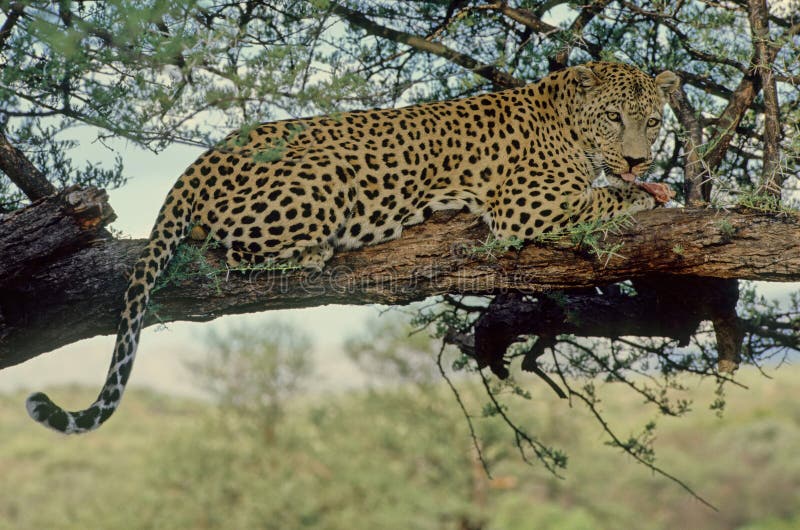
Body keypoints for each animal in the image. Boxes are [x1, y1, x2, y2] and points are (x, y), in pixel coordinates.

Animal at [26, 61, 679, 433]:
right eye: (614, 118)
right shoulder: (524, 206)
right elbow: (604, 199)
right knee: (235, 249)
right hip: (325, 174)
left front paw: (652, 183)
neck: (564, 116)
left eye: (653, 121)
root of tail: (200, 162)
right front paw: (650, 194)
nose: (638, 158)